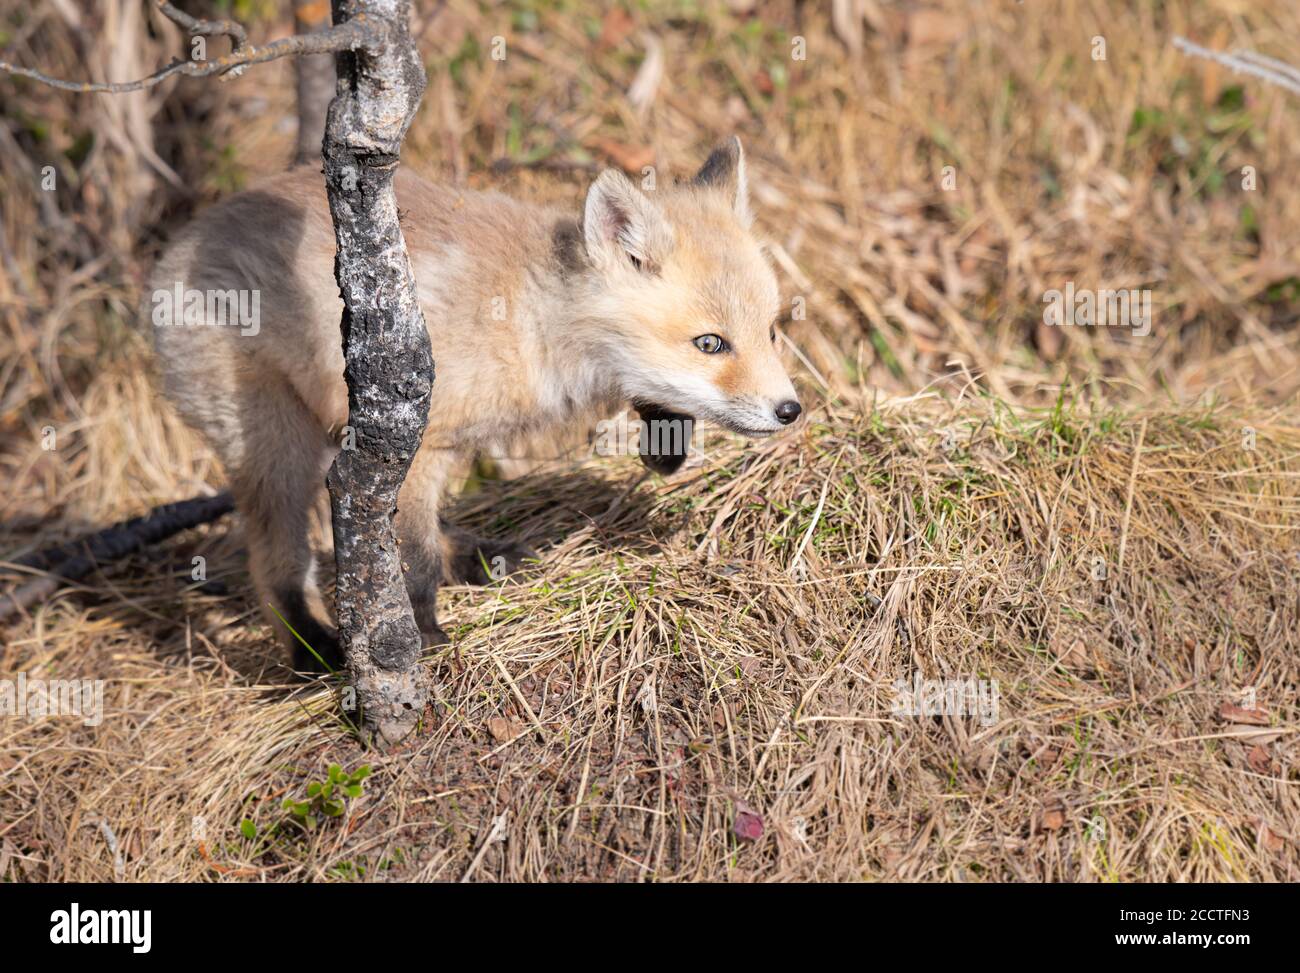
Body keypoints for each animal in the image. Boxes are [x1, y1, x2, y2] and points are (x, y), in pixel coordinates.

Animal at [149, 137, 801, 671]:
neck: (529, 320)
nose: (790, 411)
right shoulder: (413, 441)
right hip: (277, 447)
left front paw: (665, 440)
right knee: (276, 563)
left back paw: (481, 556)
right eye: (710, 344)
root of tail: (178, 244)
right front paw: (422, 638)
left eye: (771, 330)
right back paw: (313, 648)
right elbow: (411, 558)